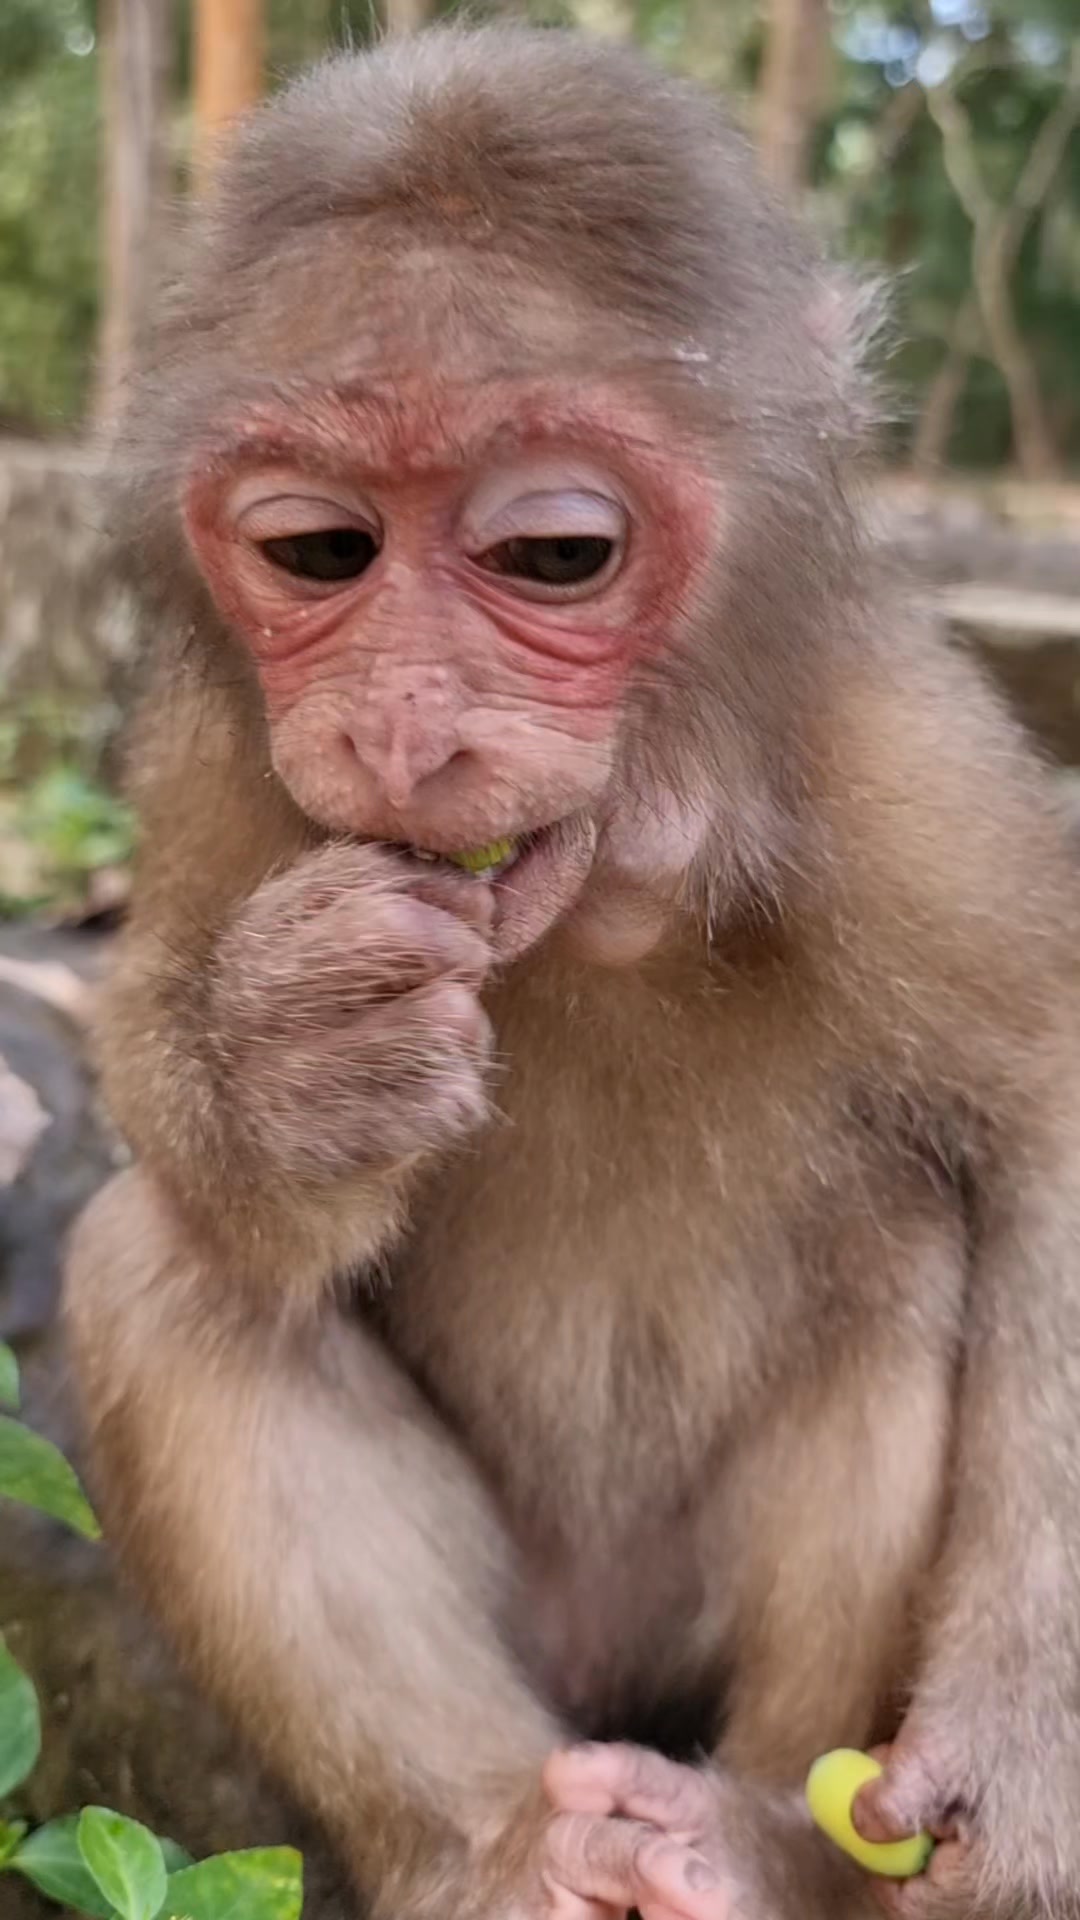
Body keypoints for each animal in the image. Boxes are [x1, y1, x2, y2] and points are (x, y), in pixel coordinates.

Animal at [63, 21, 1080, 1920]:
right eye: (317, 549)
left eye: (554, 553)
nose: (399, 728)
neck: (609, 881)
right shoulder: (213, 754)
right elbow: (157, 1017)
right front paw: (290, 1071)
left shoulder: (897, 757)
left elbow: (1054, 1113)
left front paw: (1029, 1751)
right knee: (161, 1265)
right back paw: (500, 1851)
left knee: (899, 1242)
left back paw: (750, 1849)